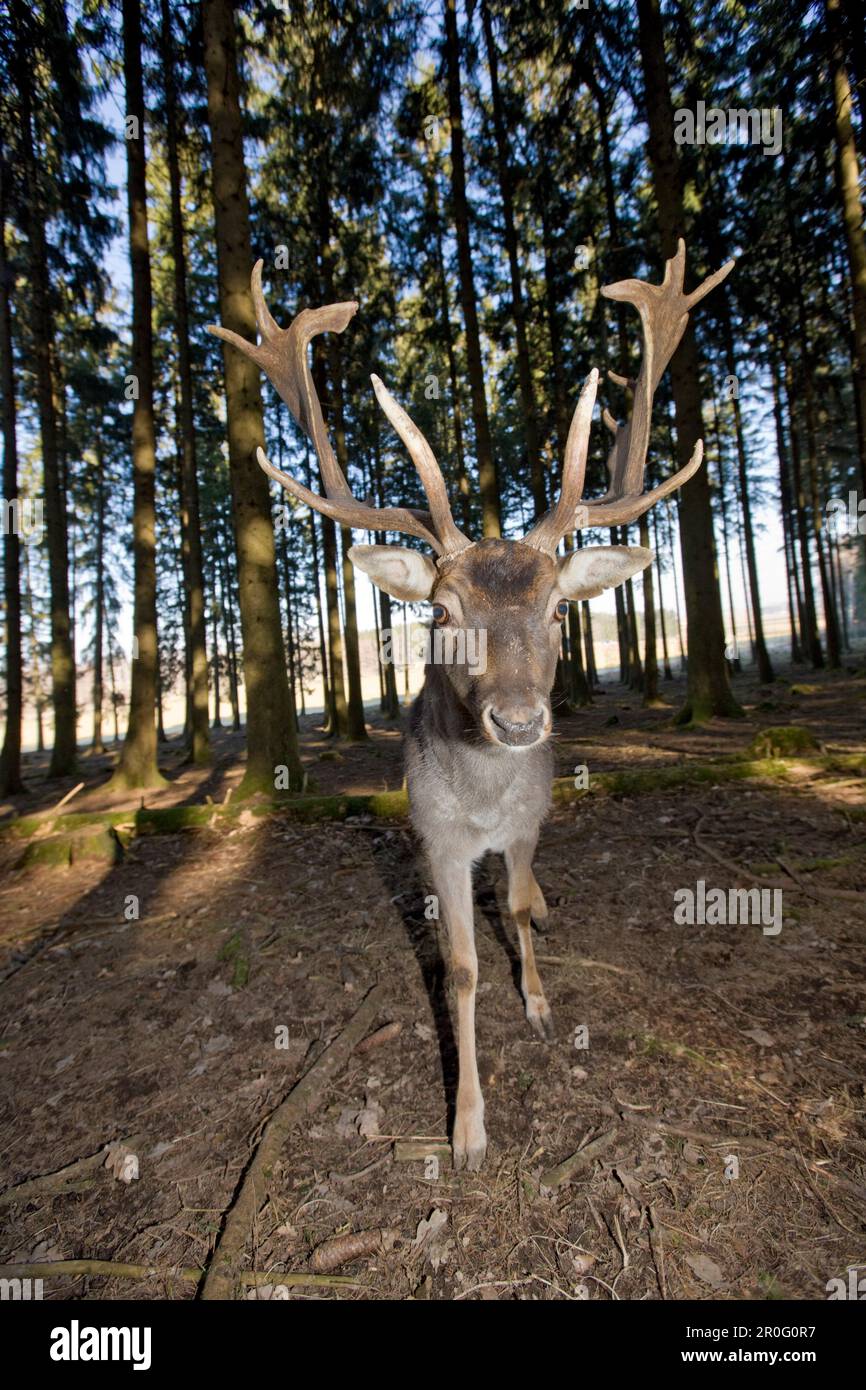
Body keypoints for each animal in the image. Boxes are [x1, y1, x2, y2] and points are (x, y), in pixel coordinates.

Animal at [210, 239, 733, 1170]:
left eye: (558, 608)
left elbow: (517, 909)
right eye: (443, 613)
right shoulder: (437, 838)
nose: (520, 722)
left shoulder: (529, 817)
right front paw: (466, 1130)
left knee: (524, 899)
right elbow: (456, 967)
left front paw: (541, 1005)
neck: (487, 804)